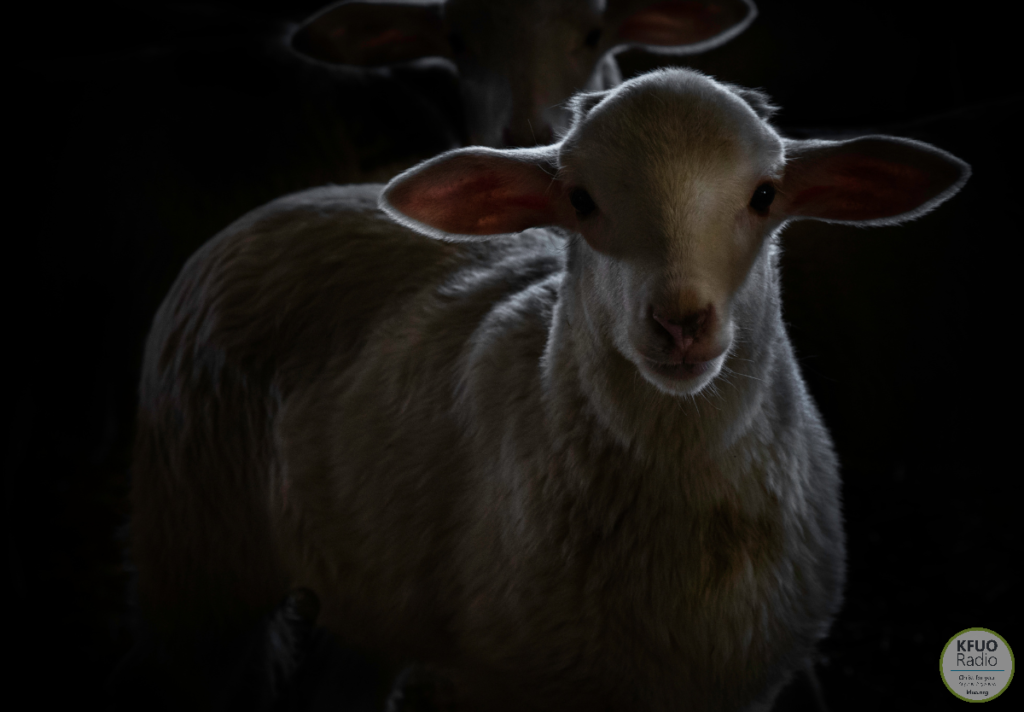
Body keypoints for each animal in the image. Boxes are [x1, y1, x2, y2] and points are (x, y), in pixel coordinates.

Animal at [130, 67, 969, 710]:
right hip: (190, 559)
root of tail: (295, 198)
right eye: (580, 199)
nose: (680, 323)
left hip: (364, 596)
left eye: (765, 195)